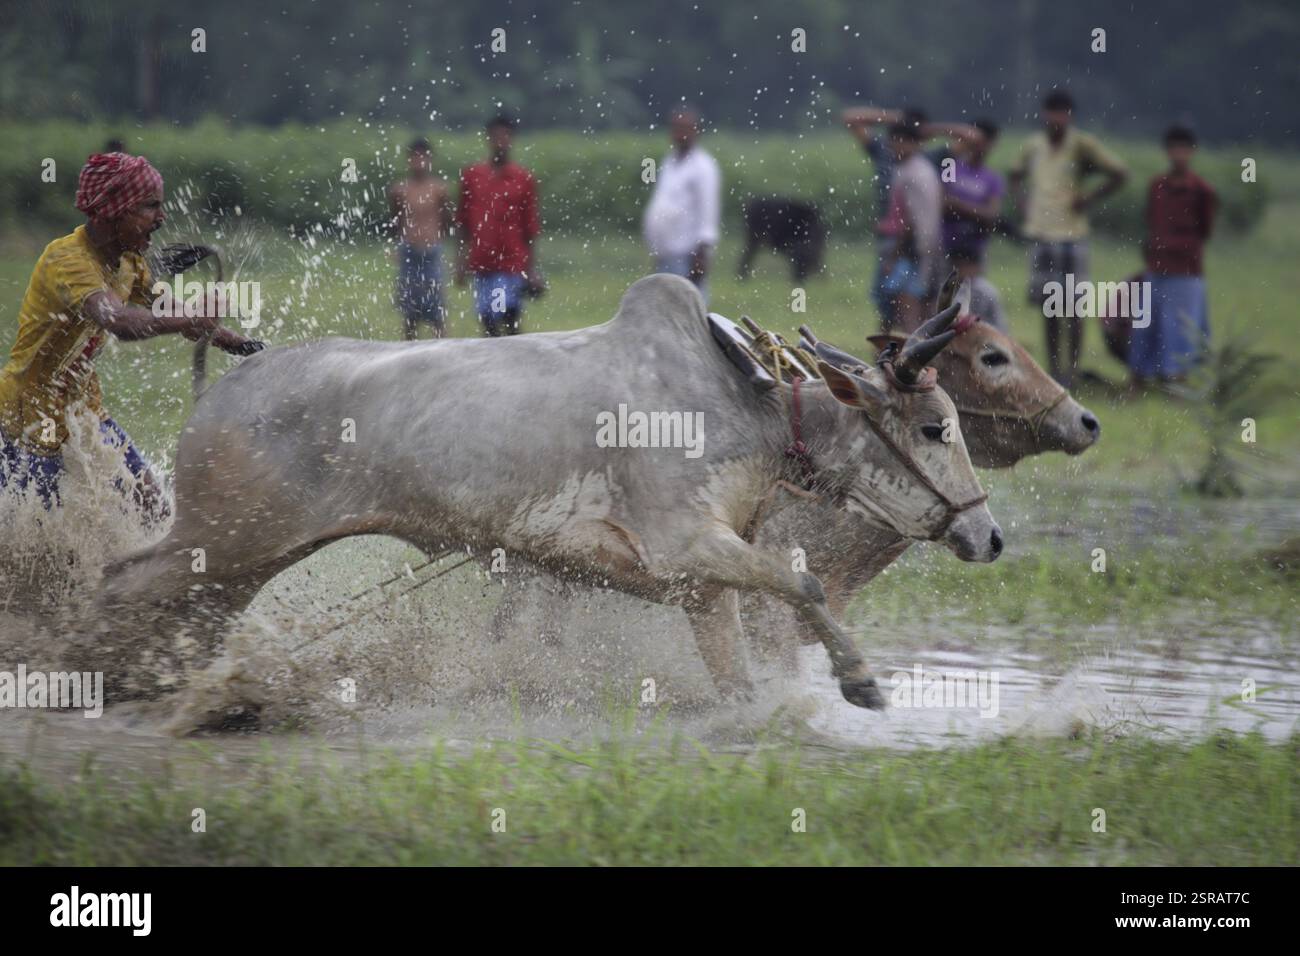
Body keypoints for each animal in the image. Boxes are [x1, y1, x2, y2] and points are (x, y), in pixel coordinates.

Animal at [96, 274, 999, 709]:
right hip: (221, 541)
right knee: (116, 580)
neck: (751, 407)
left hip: (243, 559)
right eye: (934, 428)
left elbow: (740, 673)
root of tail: (222, 390)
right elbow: (806, 586)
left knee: (187, 611)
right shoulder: (686, 547)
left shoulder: (704, 584)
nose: (990, 537)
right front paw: (862, 682)